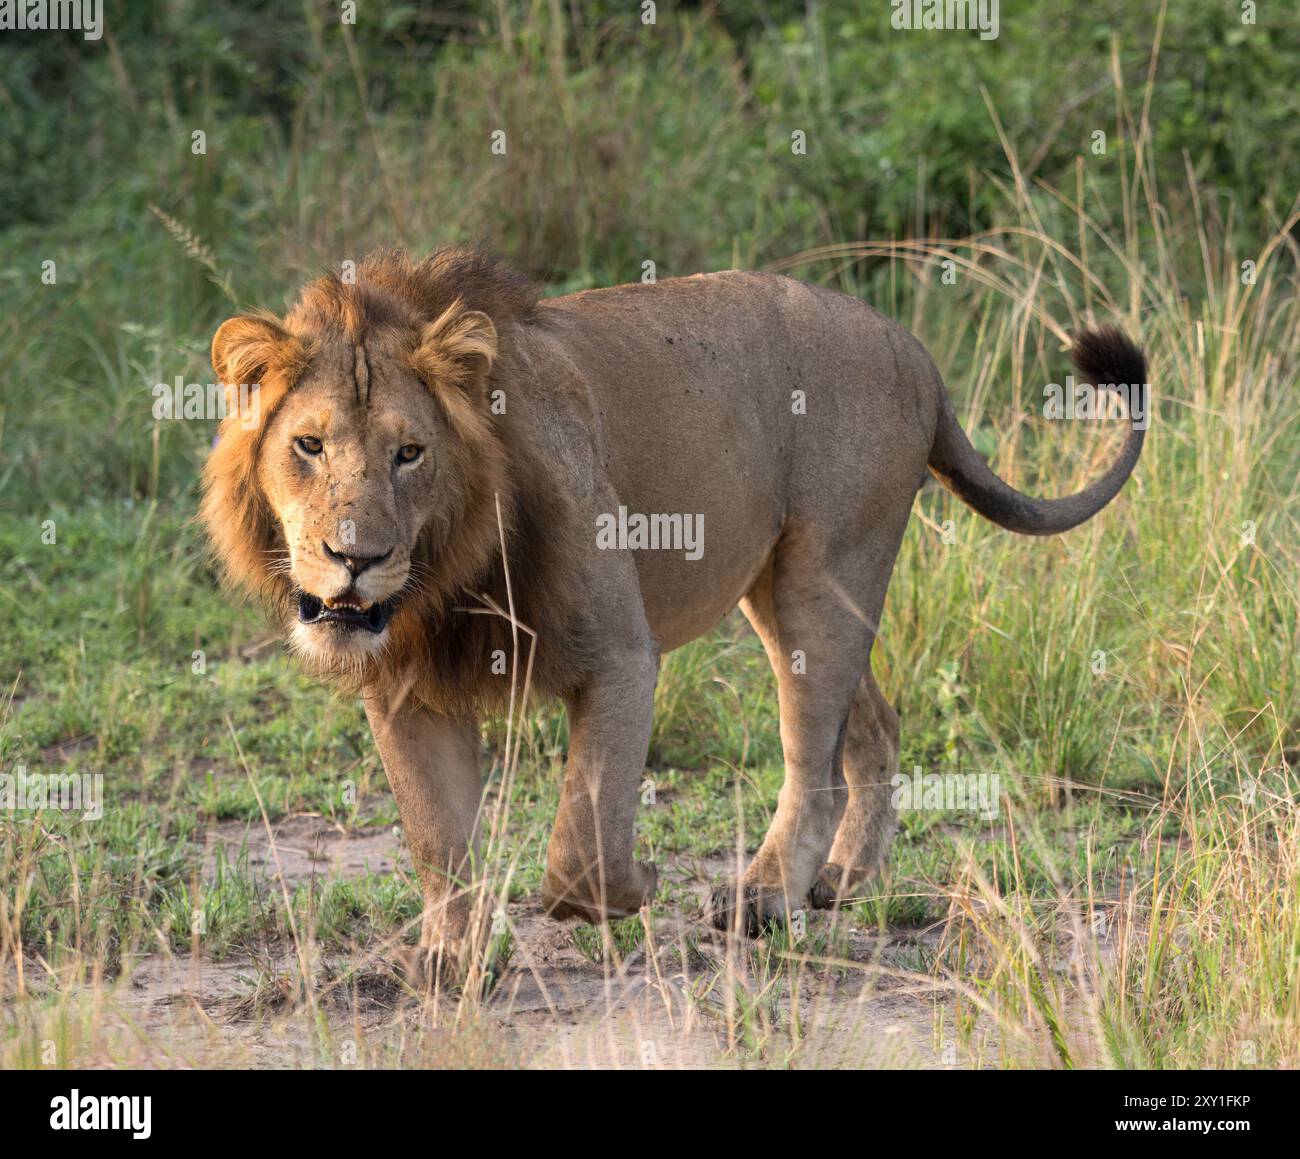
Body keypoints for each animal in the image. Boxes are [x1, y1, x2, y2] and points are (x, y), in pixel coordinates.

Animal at [201, 247, 1147, 979]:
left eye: (410, 453)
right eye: (308, 445)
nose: (354, 558)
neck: (443, 575)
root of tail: (913, 348)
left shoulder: (620, 654)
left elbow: (580, 841)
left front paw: (639, 886)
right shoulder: (406, 687)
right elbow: (439, 839)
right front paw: (448, 959)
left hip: (824, 570)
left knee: (813, 758)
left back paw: (762, 897)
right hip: (778, 585)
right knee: (874, 723)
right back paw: (844, 879)